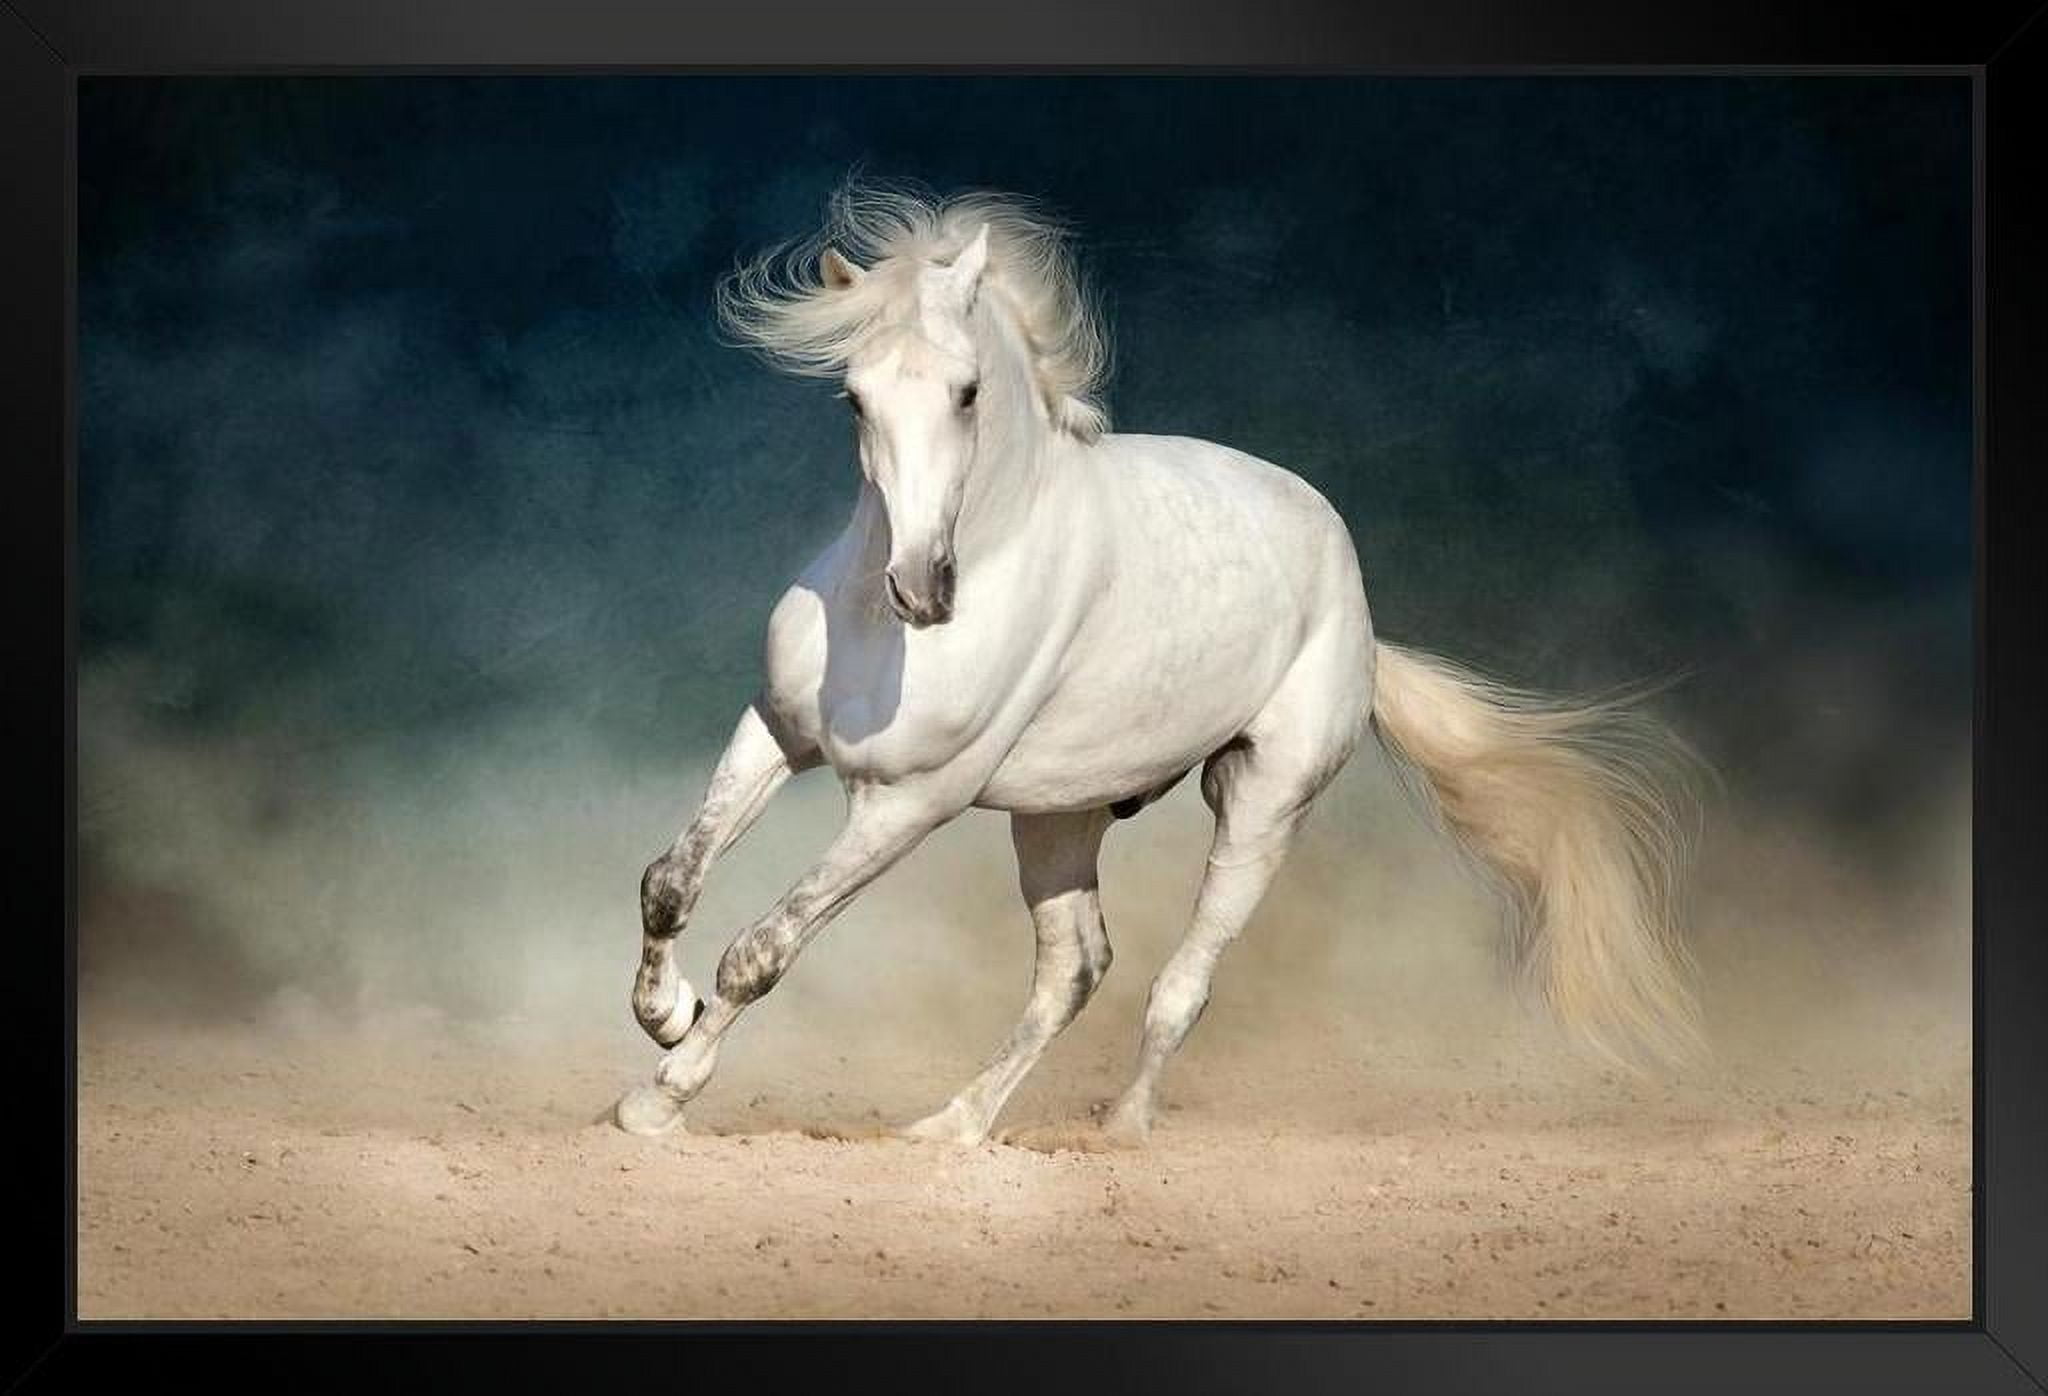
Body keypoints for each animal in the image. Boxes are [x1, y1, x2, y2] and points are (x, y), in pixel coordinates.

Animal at [614, 183, 1705, 1145]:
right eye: (853, 397)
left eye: (967, 393)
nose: (921, 589)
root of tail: (1358, 613)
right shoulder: (777, 732)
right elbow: (670, 879)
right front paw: (665, 1015)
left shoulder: (907, 803)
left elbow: (763, 950)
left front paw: (656, 1100)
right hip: (1057, 816)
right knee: (1075, 969)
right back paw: (950, 1127)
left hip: (1261, 804)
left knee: (1180, 983)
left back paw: (1121, 1131)